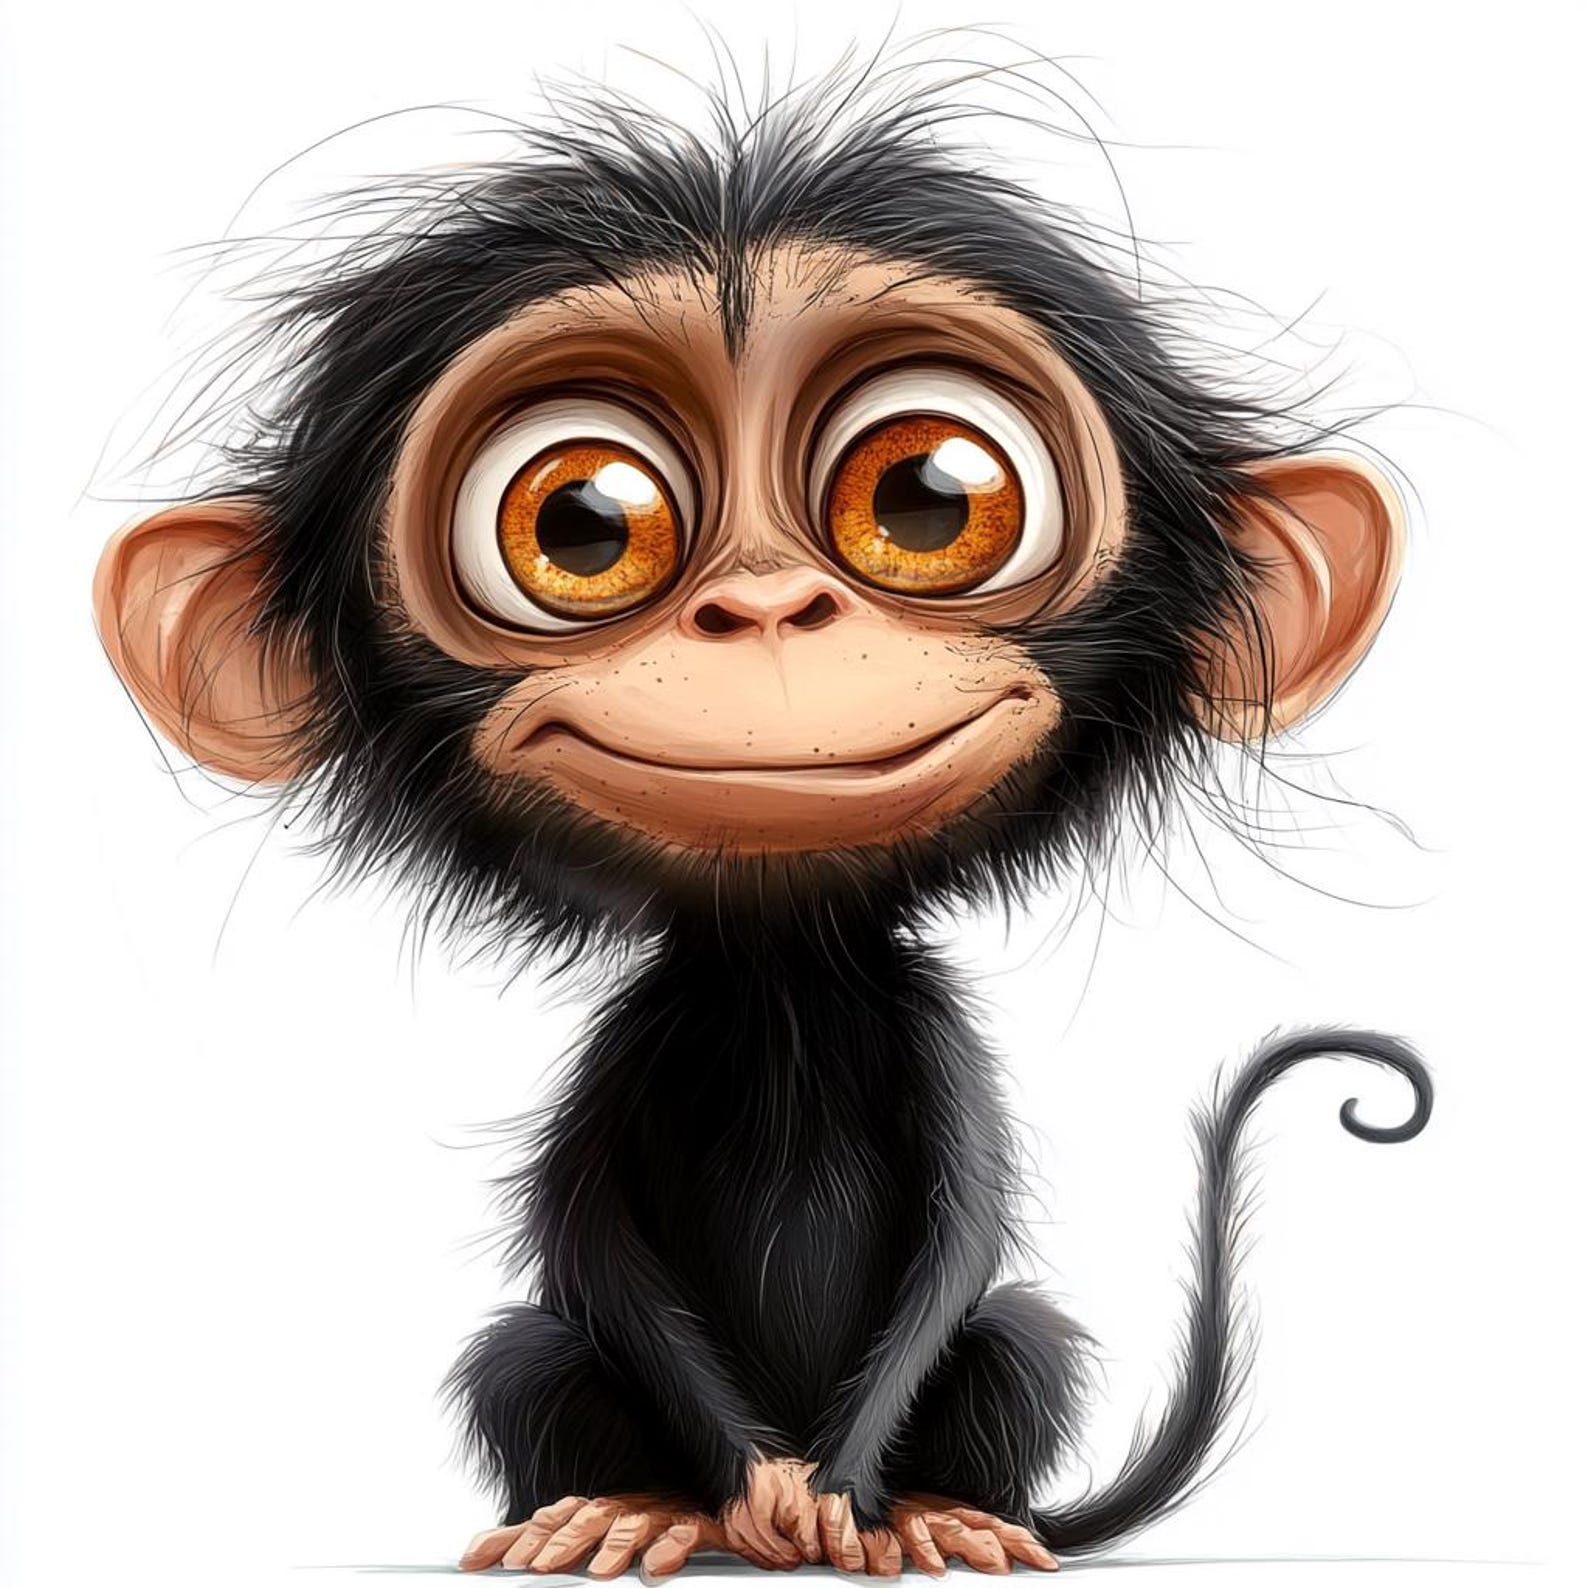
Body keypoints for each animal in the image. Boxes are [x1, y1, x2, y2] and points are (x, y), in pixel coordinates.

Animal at [92, 63, 1432, 1580]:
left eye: (928, 497)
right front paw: (752, 1484)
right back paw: (642, 1504)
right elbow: (591, 1246)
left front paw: (836, 1488)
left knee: (1017, 1335)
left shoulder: (925, 1036)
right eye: (581, 521)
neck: (778, 970)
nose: (768, 610)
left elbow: (958, 1242)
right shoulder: (637, 1038)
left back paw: (934, 1509)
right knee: (521, 1355)